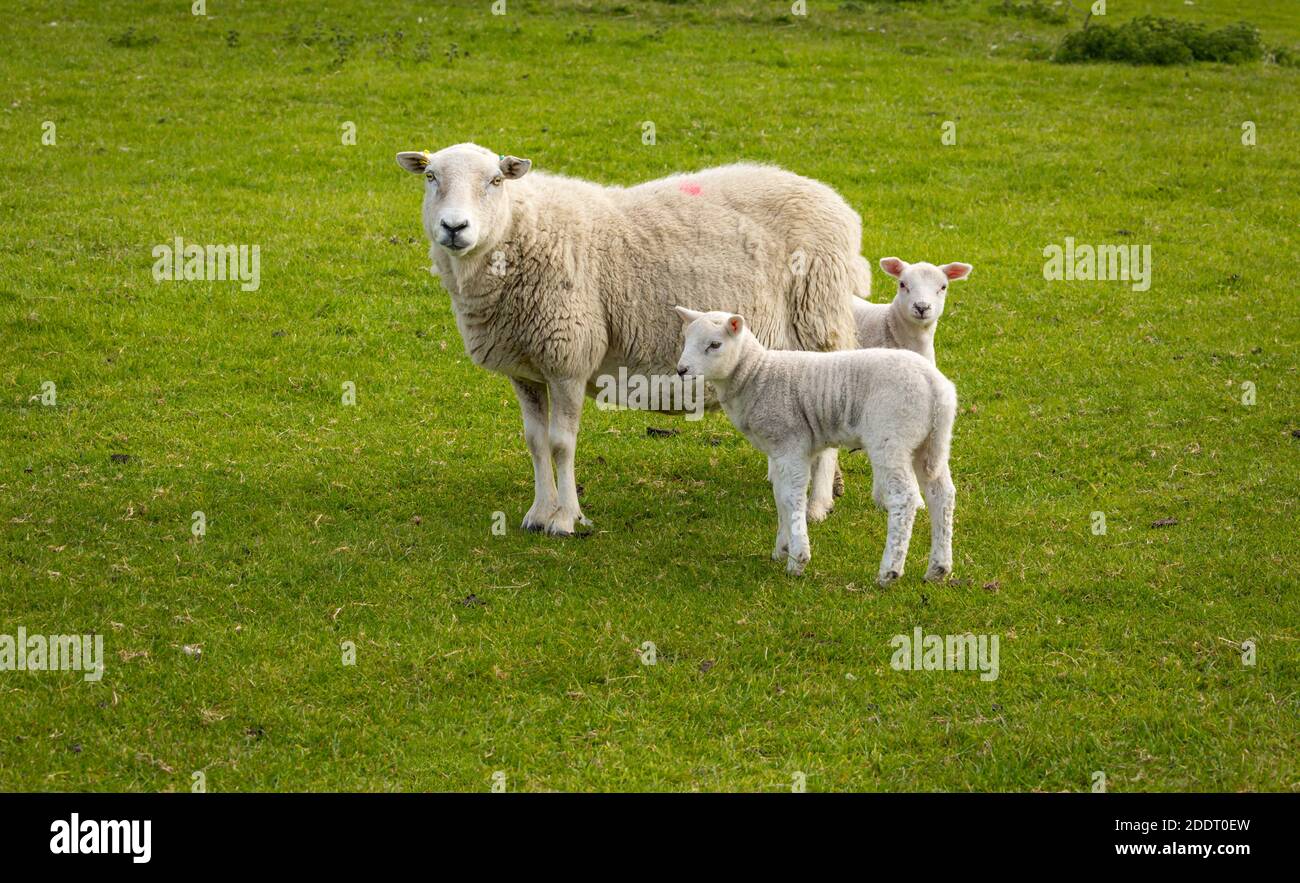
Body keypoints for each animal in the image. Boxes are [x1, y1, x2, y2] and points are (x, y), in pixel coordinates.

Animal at [395, 143, 869, 536]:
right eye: (431, 176)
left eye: (495, 181)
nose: (454, 227)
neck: (521, 231)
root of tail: (840, 206)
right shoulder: (526, 369)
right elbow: (535, 443)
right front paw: (538, 512)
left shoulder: (569, 357)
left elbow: (561, 444)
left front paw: (565, 519)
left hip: (820, 322)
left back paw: (818, 504)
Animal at [675, 307, 957, 585]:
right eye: (687, 339)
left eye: (715, 344)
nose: (681, 370)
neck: (757, 375)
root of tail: (936, 387)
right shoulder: (777, 451)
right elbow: (780, 496)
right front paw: (782, 548)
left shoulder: (791, 443)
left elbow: (792, 497)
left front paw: (798, 559)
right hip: (926, 442)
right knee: (941, 494)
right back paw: (938, 568)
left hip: (892, 436)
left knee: (904, 498)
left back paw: (890, 571)